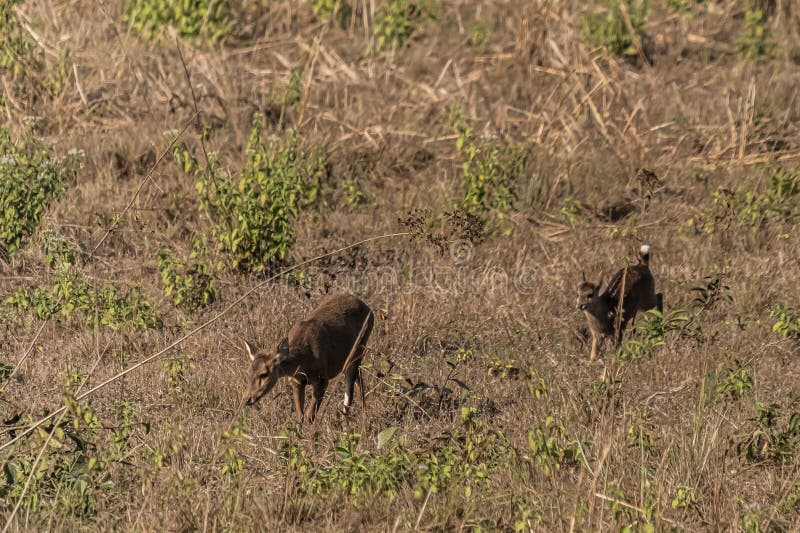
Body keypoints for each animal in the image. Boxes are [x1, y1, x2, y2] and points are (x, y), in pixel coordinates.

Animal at [244, 293, 374, 421]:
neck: (303, 360)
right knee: (358, 380)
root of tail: (368, 308)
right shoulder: (296, 382)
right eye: (249, 372)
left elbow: (309, 415)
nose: (247, 399)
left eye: (264, 374)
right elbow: (300, 415)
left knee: (350, 391)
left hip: (359, 349)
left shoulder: (322, 379)